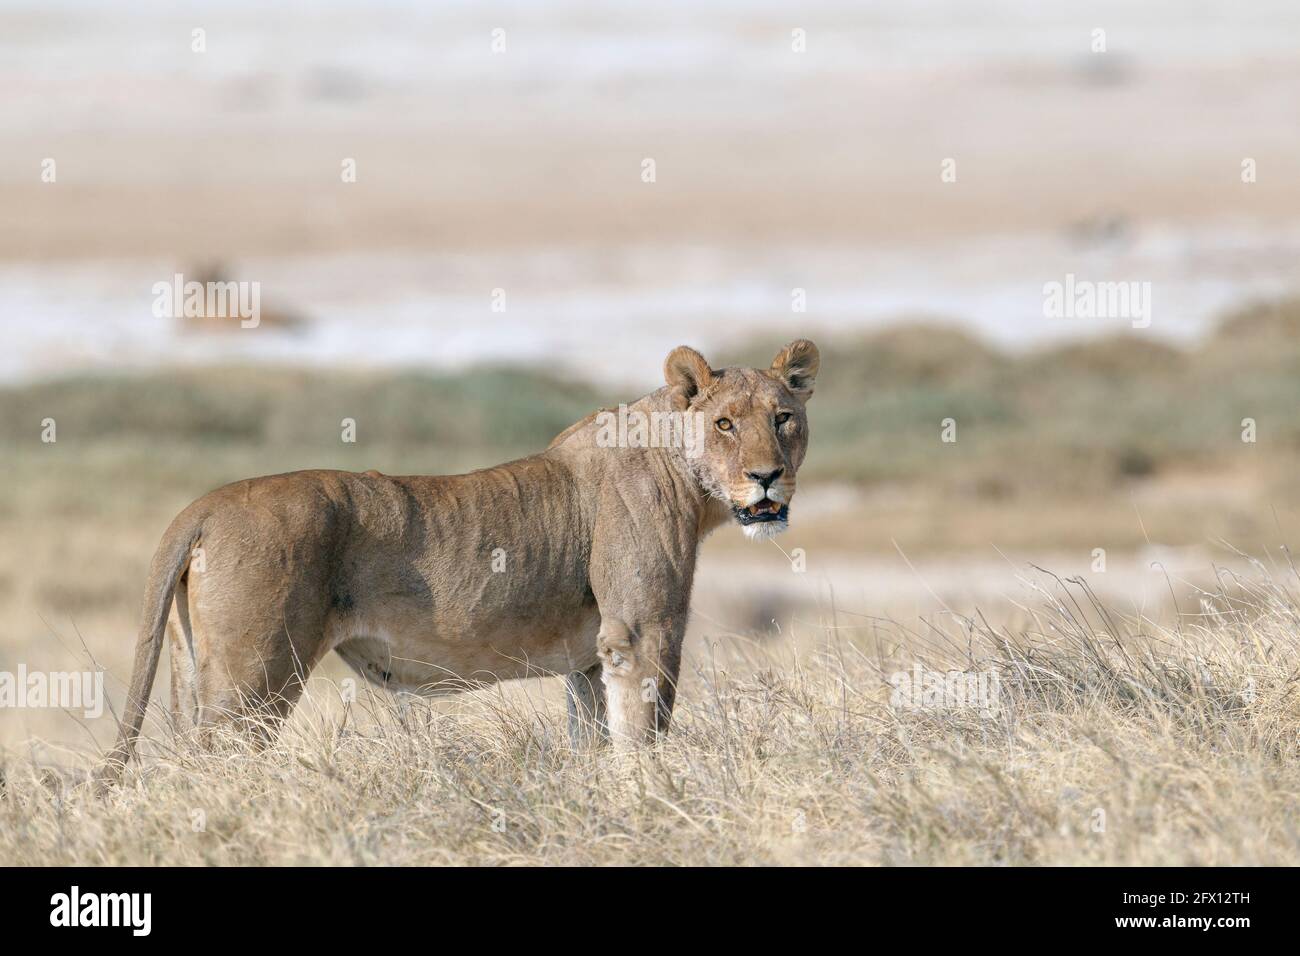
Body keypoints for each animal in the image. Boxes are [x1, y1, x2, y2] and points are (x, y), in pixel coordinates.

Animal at [96, 340, 819, 785]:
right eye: (725, 424)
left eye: (784, 417)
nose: (766, 477)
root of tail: (204, 505)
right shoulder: (641, 633)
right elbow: (645, 736)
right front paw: (651, 798)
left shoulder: (591, 657)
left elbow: (592, 736)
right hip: (254, 678)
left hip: (194, 669)